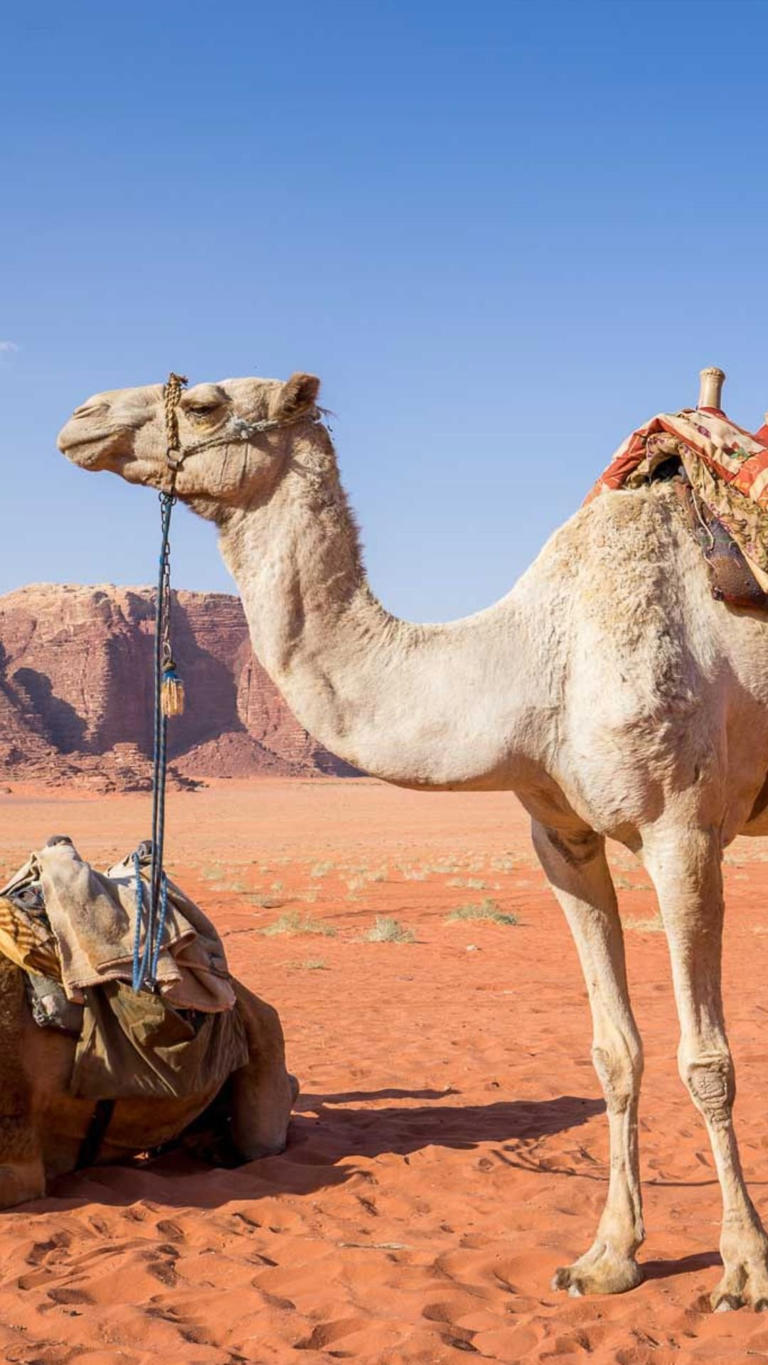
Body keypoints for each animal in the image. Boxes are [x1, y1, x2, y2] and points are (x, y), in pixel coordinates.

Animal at [57, 367, 768, 1311]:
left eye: (206, 401)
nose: (81, 418)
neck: (536, 662)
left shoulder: (681, 829)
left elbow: (708, 1060)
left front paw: (744, 1267)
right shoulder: (561, 838)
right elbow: (615, 1052)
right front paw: (608, 1256)